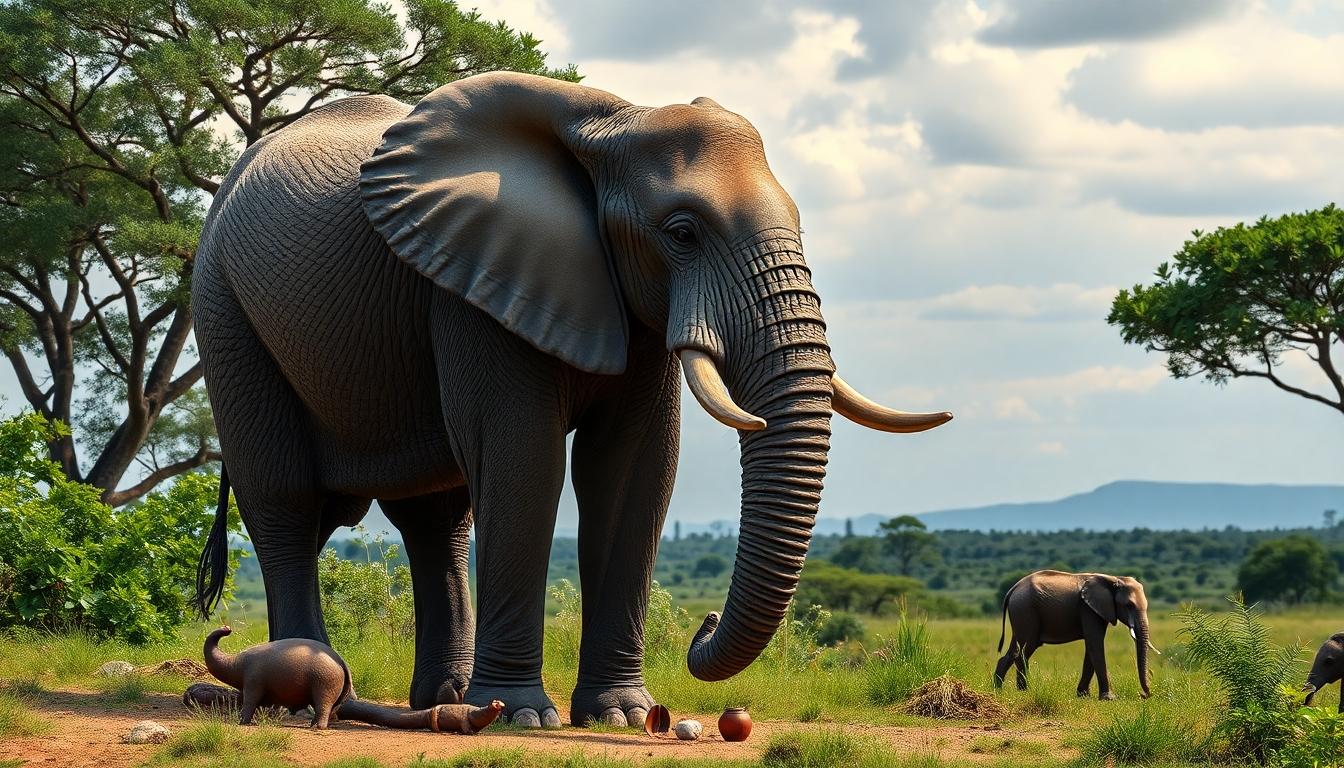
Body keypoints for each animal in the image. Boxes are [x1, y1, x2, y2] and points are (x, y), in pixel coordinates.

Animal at [203, 626, 352, 728]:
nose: (226, 628)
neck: (235, 663)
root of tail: (341, 661)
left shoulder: (252, 685)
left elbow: (249, 703)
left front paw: (242, 722)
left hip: (324, 688)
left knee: (323, 708)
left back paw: (317, 727)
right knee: (324, 710)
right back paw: (312, 724)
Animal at [993, 570, 1156, 700]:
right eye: (1129, 605)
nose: (1144, 694)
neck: (1114, 579)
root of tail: (1012, 589)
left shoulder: (1098, 610)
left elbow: (1091, 646)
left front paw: (1083, 696)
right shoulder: (1088, 609)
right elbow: (1095, 643)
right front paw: (1109, 698)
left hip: (1021, 613)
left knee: (1014, 650)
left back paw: (998, 690)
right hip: (1025, 610)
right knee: (1025, 649)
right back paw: (1024, 692)